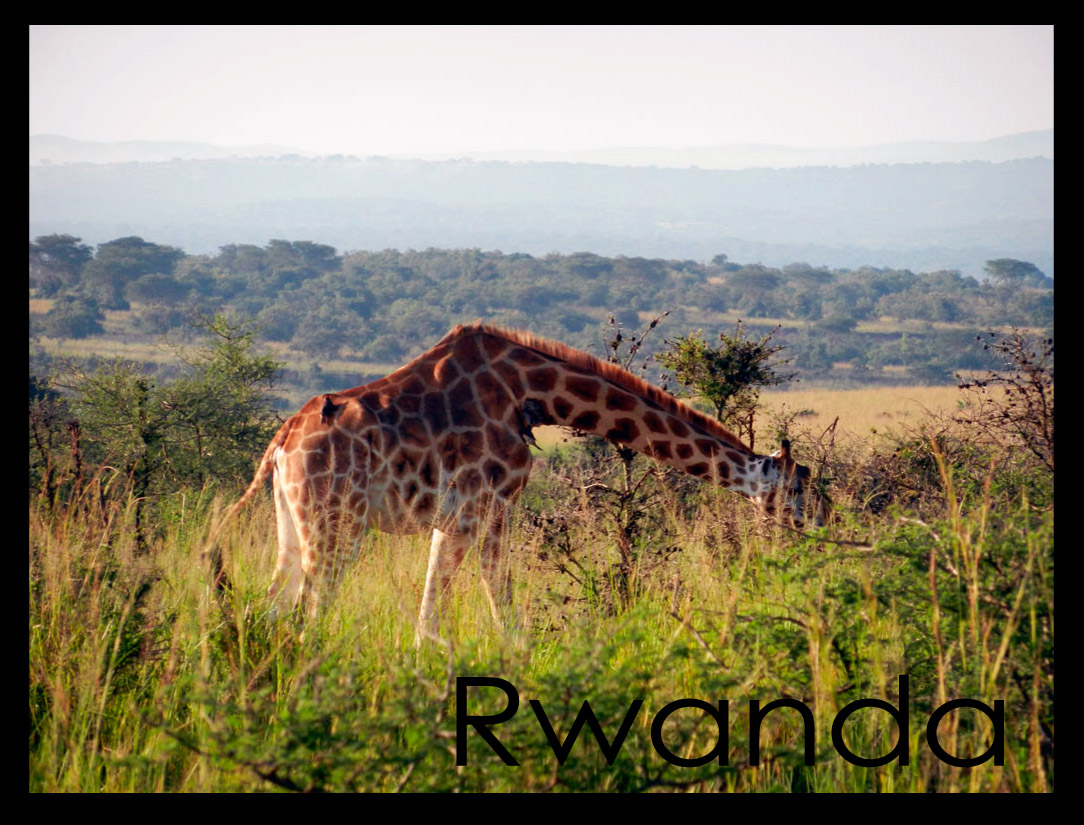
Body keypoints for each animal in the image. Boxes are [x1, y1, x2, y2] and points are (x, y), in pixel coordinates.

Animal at [217, 323, 826, 639]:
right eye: (799, 490)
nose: (820, 530)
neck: (533, 394)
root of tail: (280, 442)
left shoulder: (455, 515)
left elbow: (431, 613)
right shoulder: (489, 504)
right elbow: (498, 606)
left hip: (291, 521)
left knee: (270, 607)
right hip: (337, 523)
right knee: (309, 615)